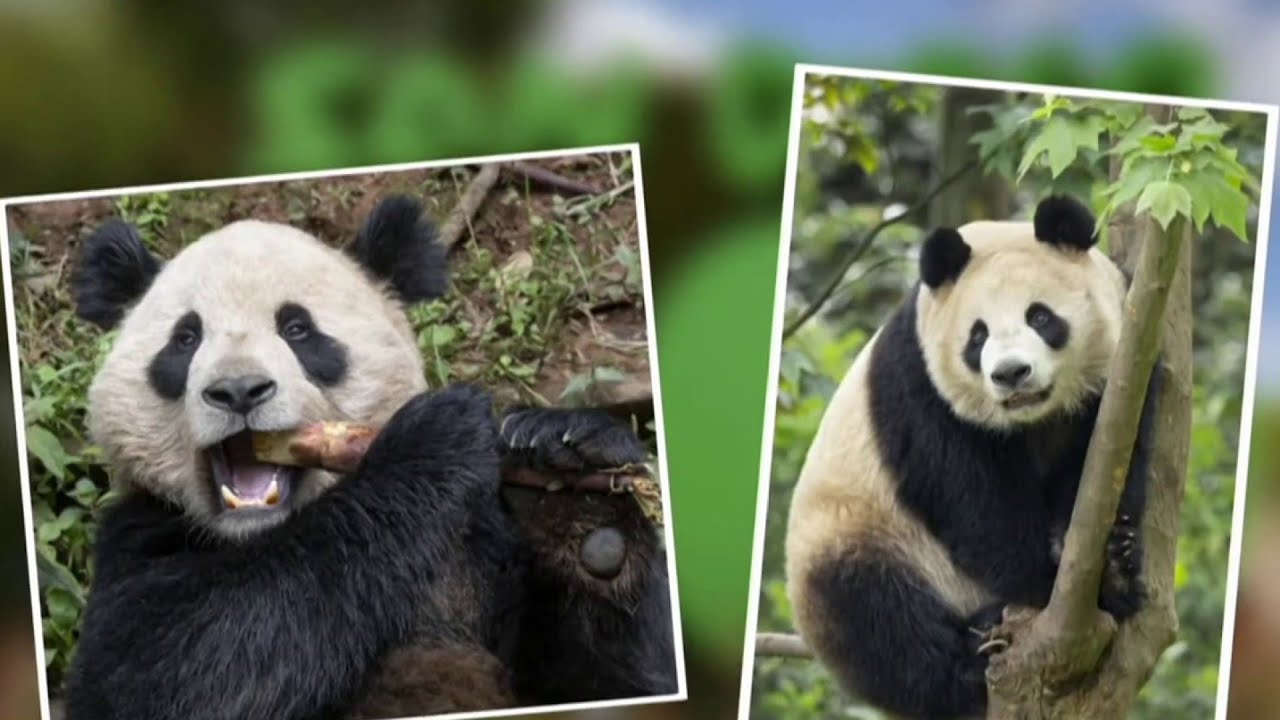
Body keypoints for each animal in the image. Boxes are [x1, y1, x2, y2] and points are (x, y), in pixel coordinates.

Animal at [61, 195, 677, 720]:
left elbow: (620, 679)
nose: (237, 391)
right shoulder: (139, 536)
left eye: (298, 328)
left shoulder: (480, 549)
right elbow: (179, 673)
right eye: (185, 339)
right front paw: (432, 438)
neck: (261, 536)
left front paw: (571, 479)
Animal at [784, 195, 1158, 720]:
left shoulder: (1127, 363)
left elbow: (1108, 462)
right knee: (876, 617)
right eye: (977, 336)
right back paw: (974, 655)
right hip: (855, 533)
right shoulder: (920, 386)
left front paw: (1110, 563)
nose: (1011, 373)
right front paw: (1048, 583)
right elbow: (974, 501)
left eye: (1040, 317)